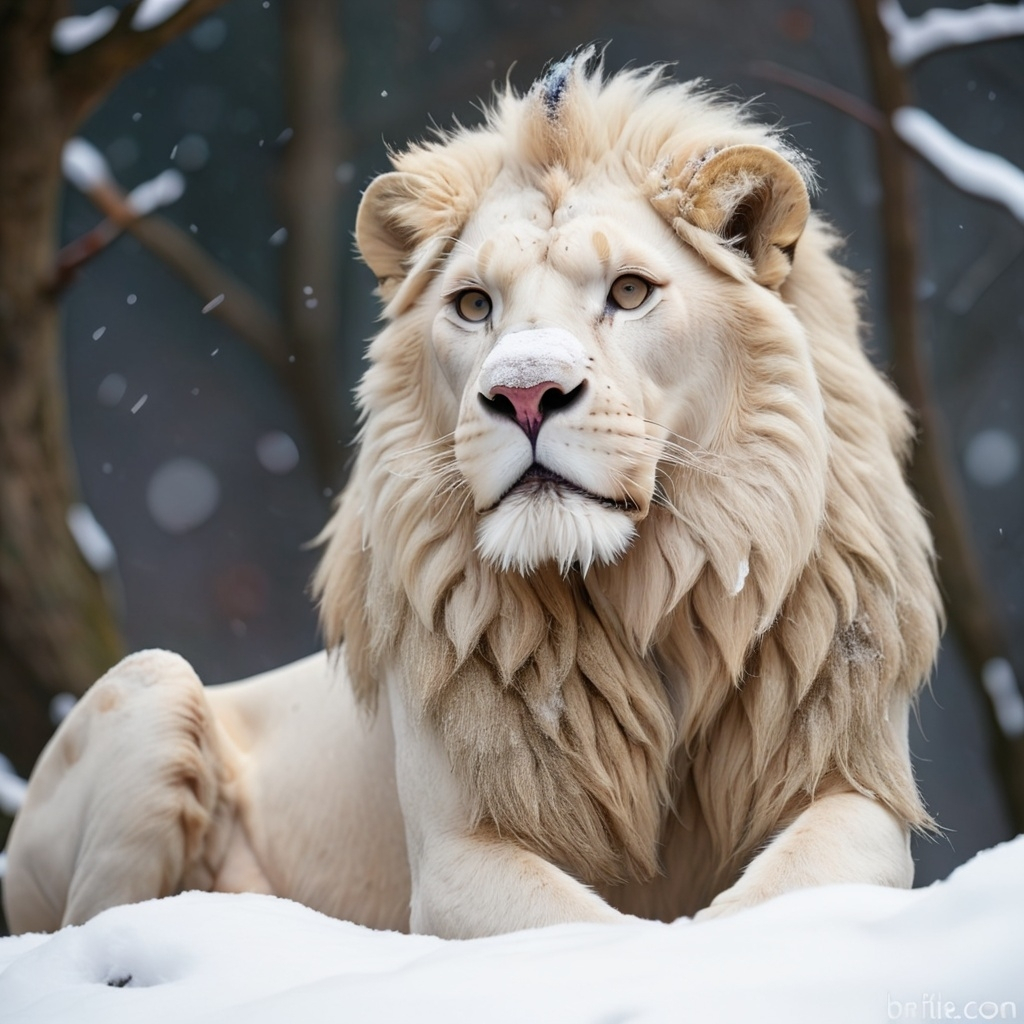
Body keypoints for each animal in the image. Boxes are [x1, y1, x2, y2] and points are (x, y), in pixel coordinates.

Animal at [4, 52, 941, 939]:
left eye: (629, 291)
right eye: (473, 304)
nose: (524, 394)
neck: (647, 599)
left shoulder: (857, 785)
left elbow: (791, 888)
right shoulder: (455, 858)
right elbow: (591, 933)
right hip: (151, 690)